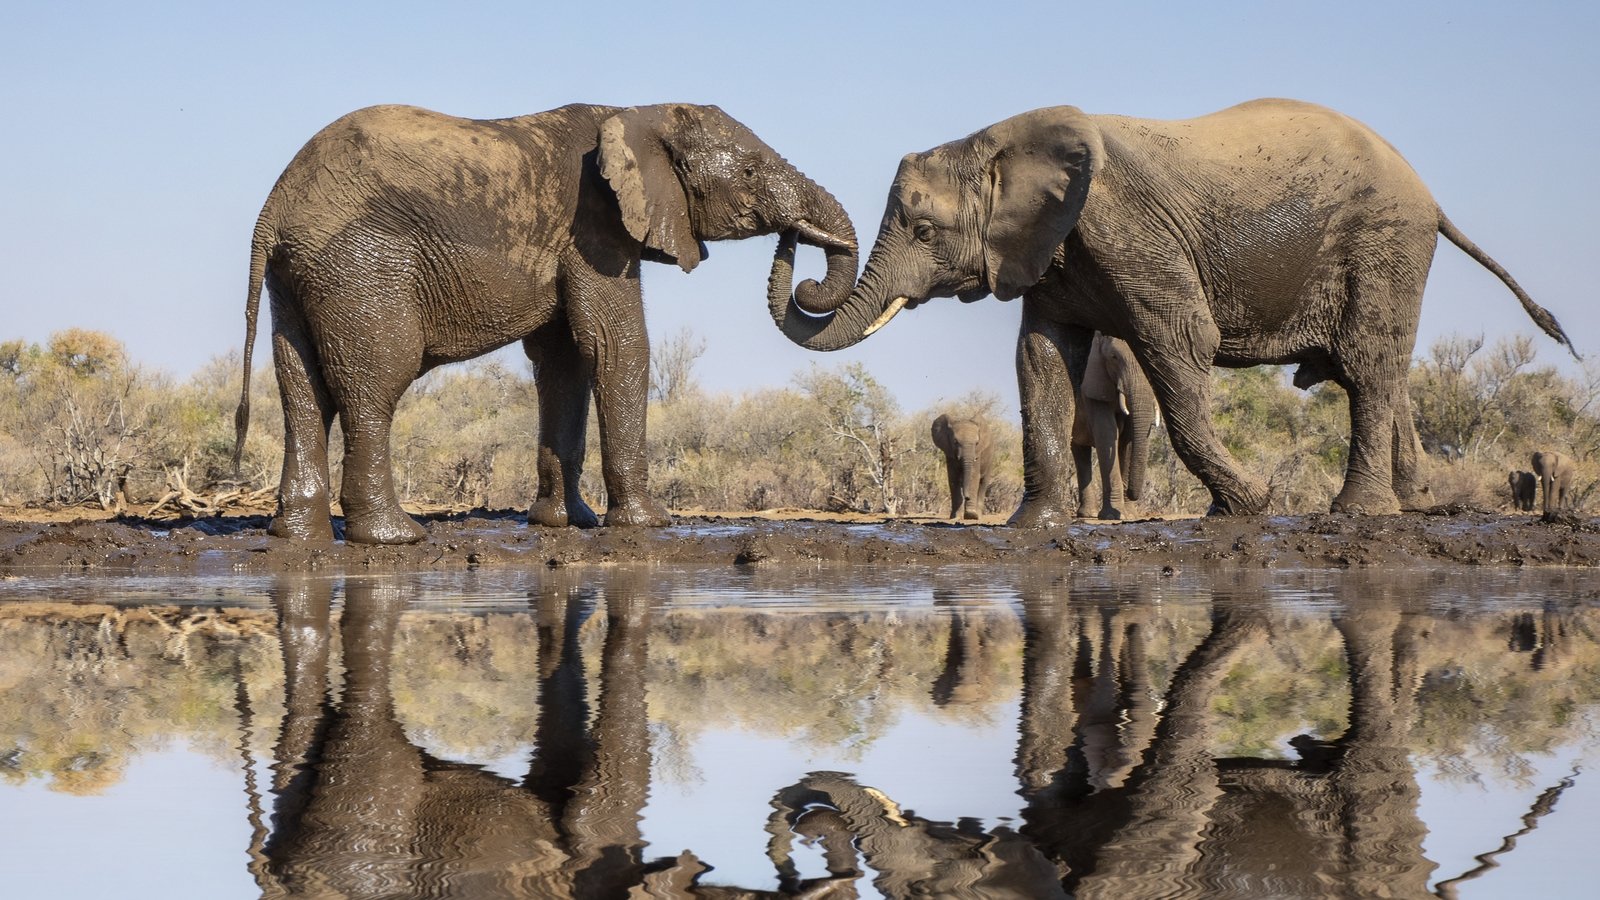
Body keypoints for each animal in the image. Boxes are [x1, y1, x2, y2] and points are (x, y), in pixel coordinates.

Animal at [233, 103, 857, 543]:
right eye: (749, 171)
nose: (796, 253)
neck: (639, 112)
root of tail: (272, 211)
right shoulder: (596, 226)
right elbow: (615, 345)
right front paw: (648, 523)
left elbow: (566, 360)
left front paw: (566, 522)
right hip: (360, 267)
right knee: (375, 384)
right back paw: (395, 537)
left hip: (299, 277)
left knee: (301, 389)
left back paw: (296, 536)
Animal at [1072, 333, 1157, 520]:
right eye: (1114, 357)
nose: (1133, 493)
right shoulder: (1093, 386)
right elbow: (1108, 434)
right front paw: (1113, 516)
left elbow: (1129, 439)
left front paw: (1130, 515)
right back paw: (1087, 514)